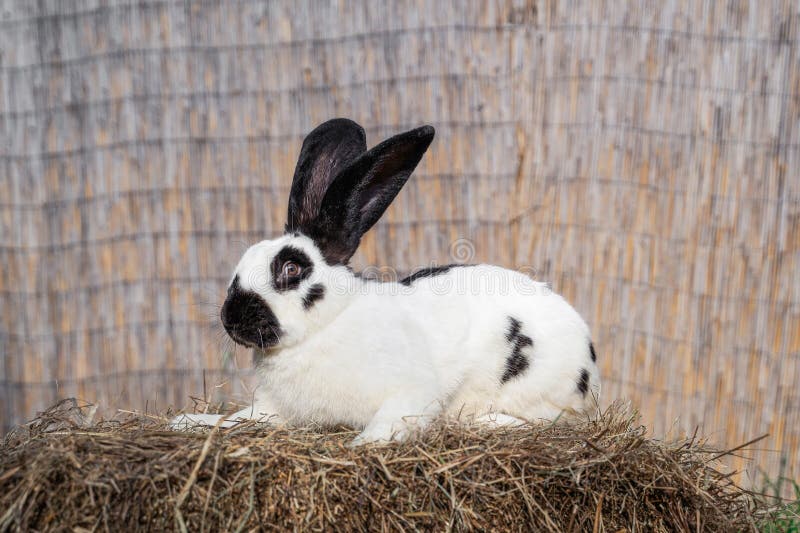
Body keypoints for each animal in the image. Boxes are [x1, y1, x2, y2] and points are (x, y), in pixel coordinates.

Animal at [172, 118, 601, 444]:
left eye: (291, 268)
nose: (230, 318)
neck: (323, 329)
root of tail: (591, 363)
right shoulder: (273, 410)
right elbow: (235, 419)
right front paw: (187, 422)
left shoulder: (411, 392)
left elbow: (392, 420)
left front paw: (364, 445)